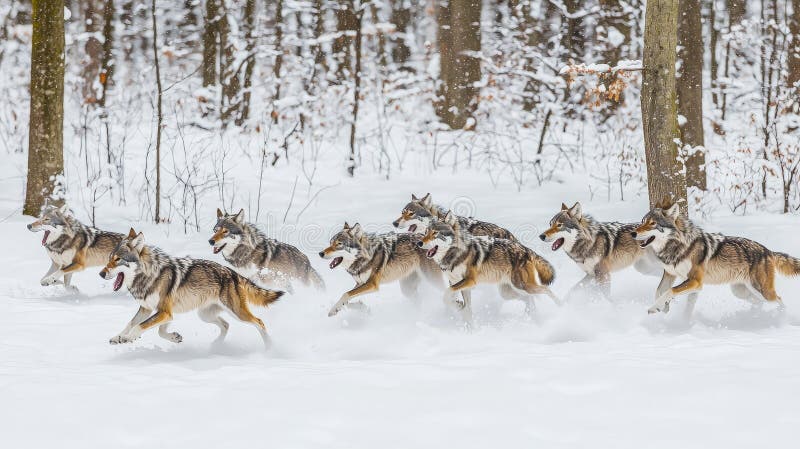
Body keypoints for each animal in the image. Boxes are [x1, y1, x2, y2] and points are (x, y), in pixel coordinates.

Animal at [100, 228, 283, 346]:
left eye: (117, 259)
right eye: (109, 258)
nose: (101, 274)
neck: (150, 275)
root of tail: (232, 273)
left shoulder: (165, 312)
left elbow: (140, 326)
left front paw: (128, 338)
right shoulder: (152, 310)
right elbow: (133, 324)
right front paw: (119, 336)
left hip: (237, 313)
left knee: (260, 322)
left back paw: (270, 347)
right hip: (205, 315)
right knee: (226, 325)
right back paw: (216, 345)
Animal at [416, 211, 559, 323]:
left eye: (435, 233)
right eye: (426, 232)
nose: (419, 243)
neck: (453, 254)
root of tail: (526, 249)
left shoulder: (469, 281)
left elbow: (446, 294)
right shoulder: (459, 283)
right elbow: (464, 307)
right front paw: (467, 324)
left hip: (522, 286)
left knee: (546, 290)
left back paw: (561, 307)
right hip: (508, 292)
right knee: (529, 299)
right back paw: (533, 316)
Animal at [632, 197, 800, 316]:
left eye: (653, 223)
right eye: (642, 222)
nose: (633, 233)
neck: (677, 246)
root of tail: (768, 250)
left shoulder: (696, 281)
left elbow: (670, 291)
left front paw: (656, 307)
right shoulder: (670, 273)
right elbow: (659, 291)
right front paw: (663, 307)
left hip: (763, 291)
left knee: (779, 299)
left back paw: (782, 317)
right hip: (742, 292)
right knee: (759, 303)